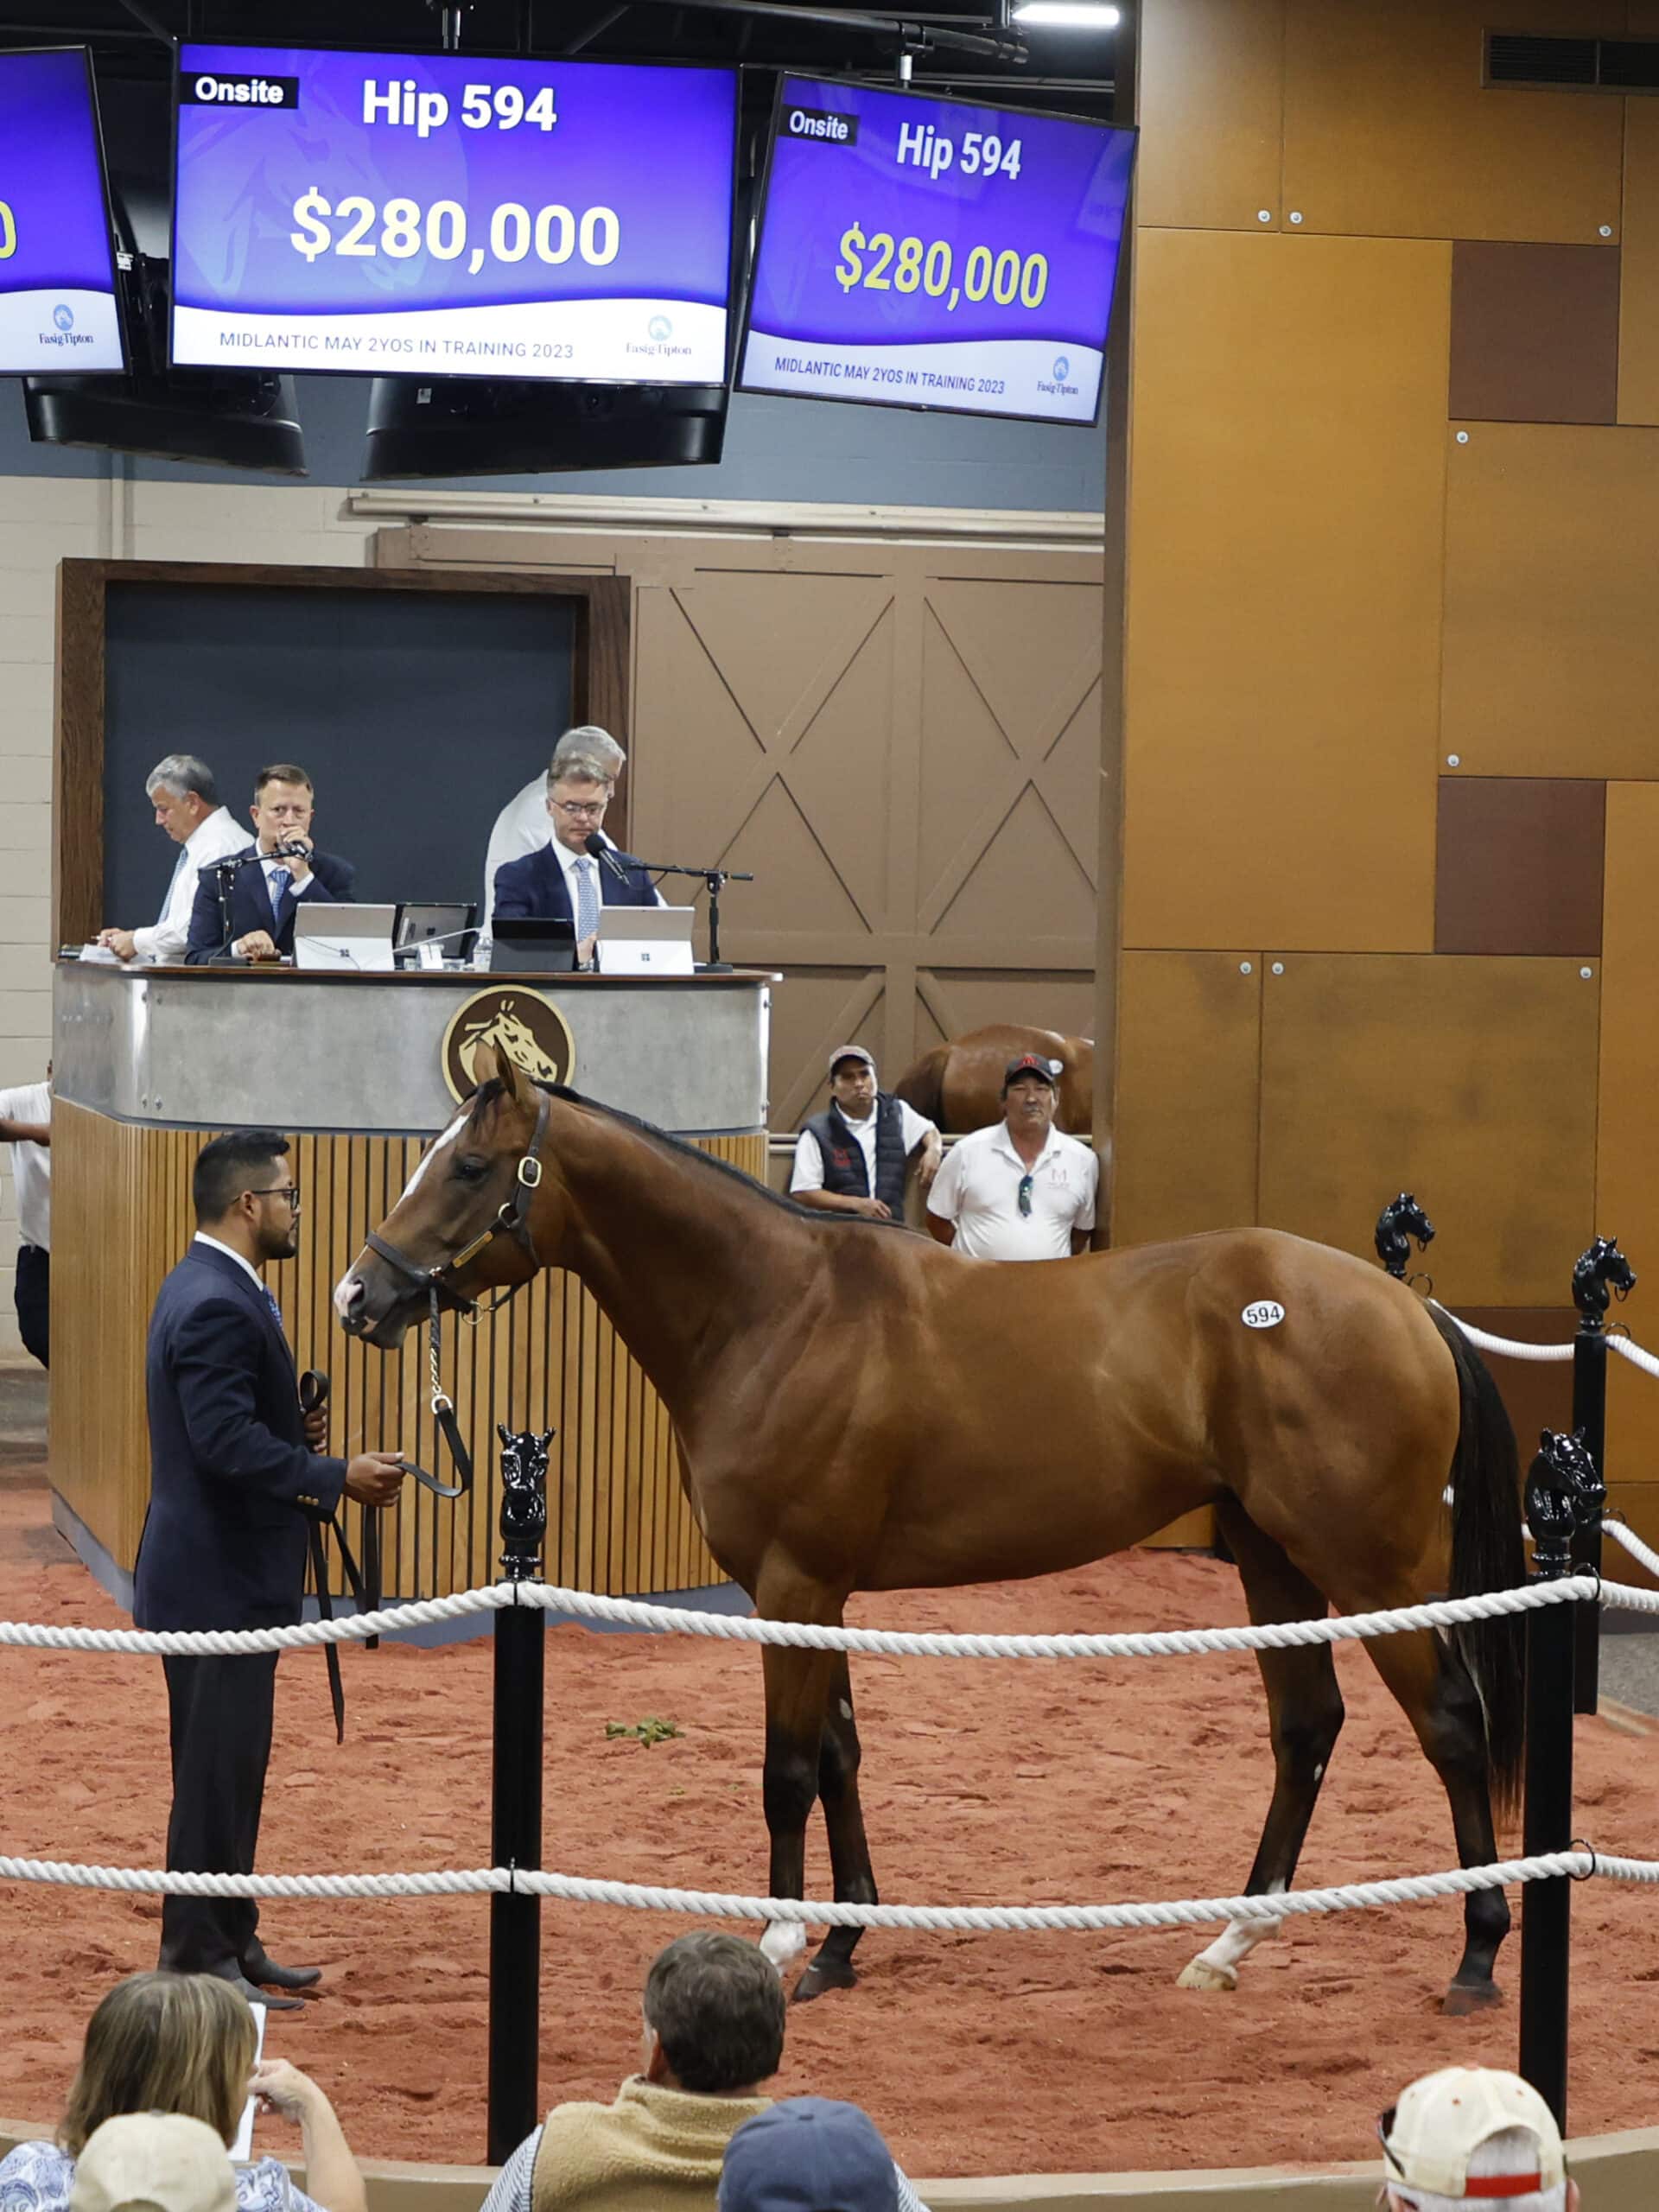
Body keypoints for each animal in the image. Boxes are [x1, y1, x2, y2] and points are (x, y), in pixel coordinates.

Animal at [334, 1046, 1526, 2016]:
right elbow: (841, 1756)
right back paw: (1229, 1944)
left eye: (470, 1168)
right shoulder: (816, 1593)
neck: (779, 1310)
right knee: (1307, 1728)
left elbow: (788, 1769)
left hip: (1375, 1570)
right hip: (1274, 1560)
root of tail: (1407, 1306)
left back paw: (1476, 1956)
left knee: (1452, 1727)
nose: (357, 1297)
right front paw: (842, 1945)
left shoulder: (795, 1585)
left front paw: (778, 1942)